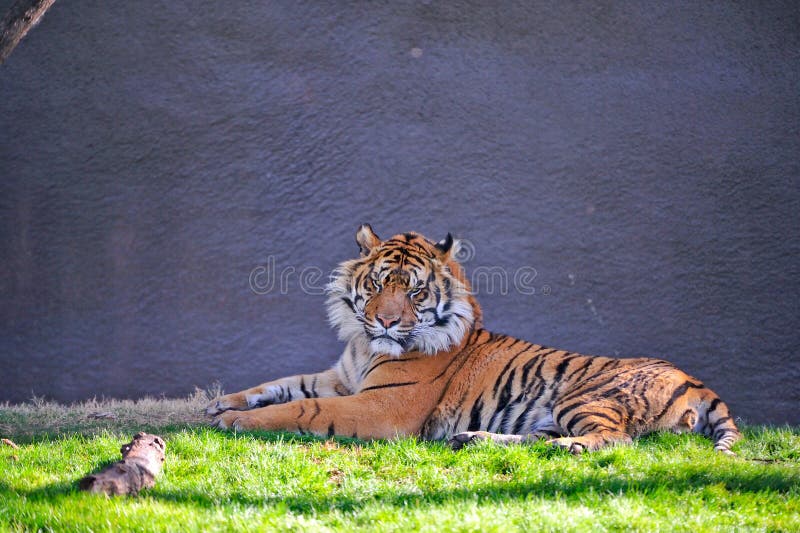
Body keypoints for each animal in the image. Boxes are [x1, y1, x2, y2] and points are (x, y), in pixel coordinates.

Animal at [208, 224, 741, 455]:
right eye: (377, 284)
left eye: (415, 290)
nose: (385, 322)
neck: (365, 345)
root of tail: (696, 381)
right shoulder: (341, 379)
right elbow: (282, 383)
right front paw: (221, 403)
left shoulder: (379, 407)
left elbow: (301, 408)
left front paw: (234, 421)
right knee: (537, 439)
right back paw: (473, 438)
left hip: (585, 397)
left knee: (617, 440)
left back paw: (572, 449)